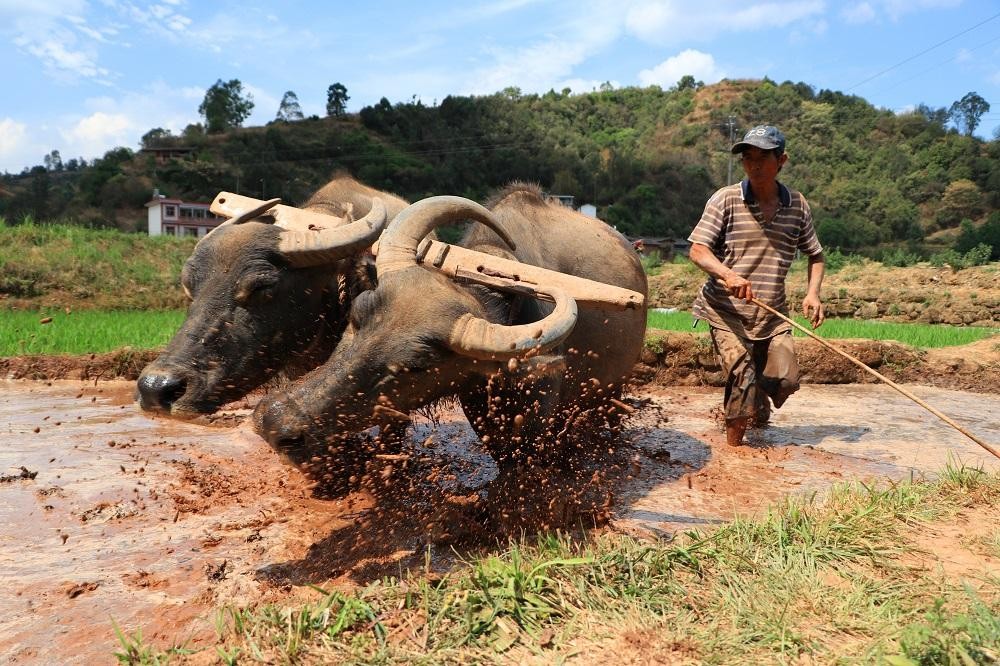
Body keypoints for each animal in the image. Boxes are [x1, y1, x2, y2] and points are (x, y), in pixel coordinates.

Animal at [253, 184, 648, 475]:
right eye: (357, 315)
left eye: (418, 366)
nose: (275, 423)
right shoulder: (477, 404)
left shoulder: (539, 410)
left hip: (615, 388)